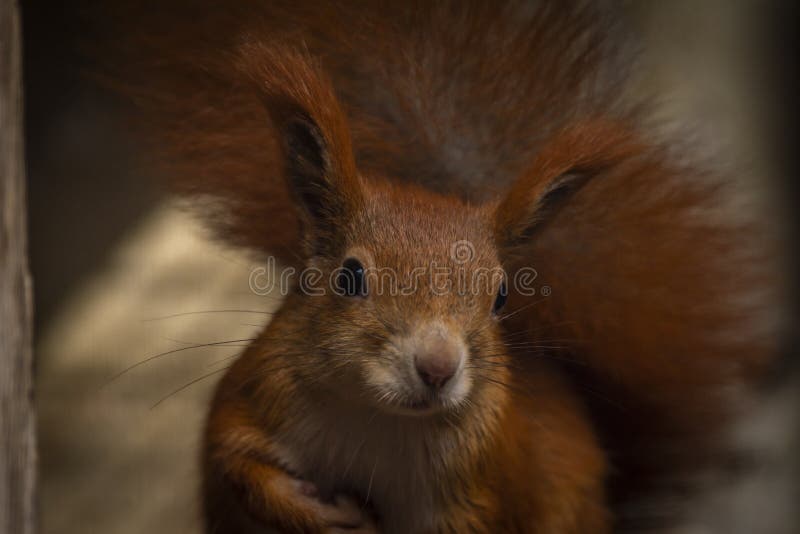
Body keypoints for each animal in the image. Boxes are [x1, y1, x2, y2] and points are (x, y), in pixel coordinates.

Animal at [94, 1, 786, 531]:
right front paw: (315, 512)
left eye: (502, 296)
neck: (377, 418)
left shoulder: (491, 480)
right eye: (348, 277)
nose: (437, 366)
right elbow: (236, 460)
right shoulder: (254, 396)